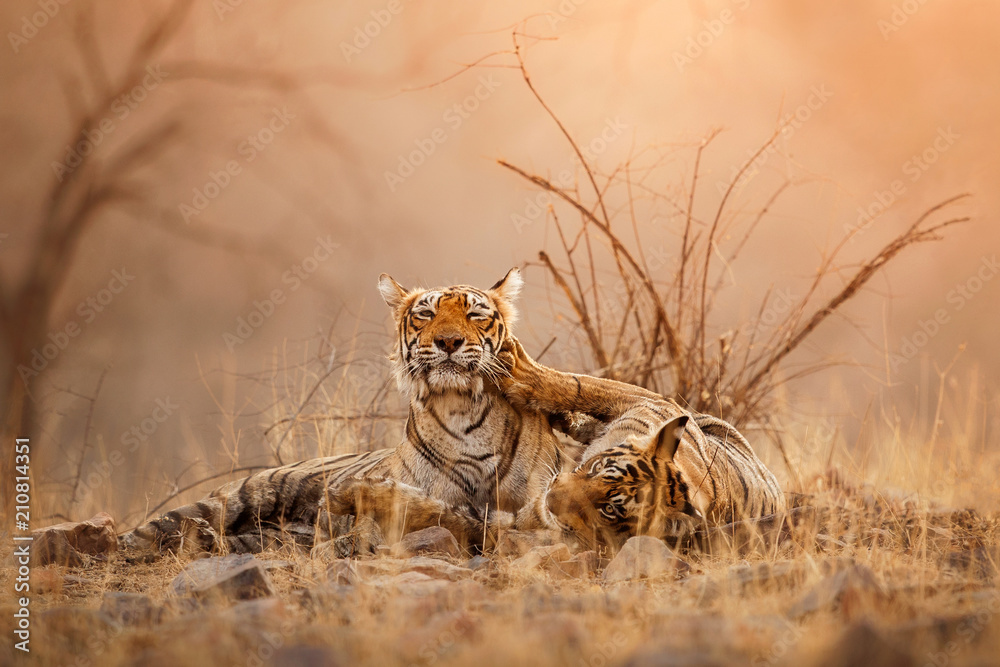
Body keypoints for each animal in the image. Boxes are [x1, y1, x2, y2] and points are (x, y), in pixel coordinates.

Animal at [120, 268, 566, 554]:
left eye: (475, 314)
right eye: (425, 314)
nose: (449, 342)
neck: (460, 409)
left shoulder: (533, 501)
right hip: (237, 496)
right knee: (159, 528)